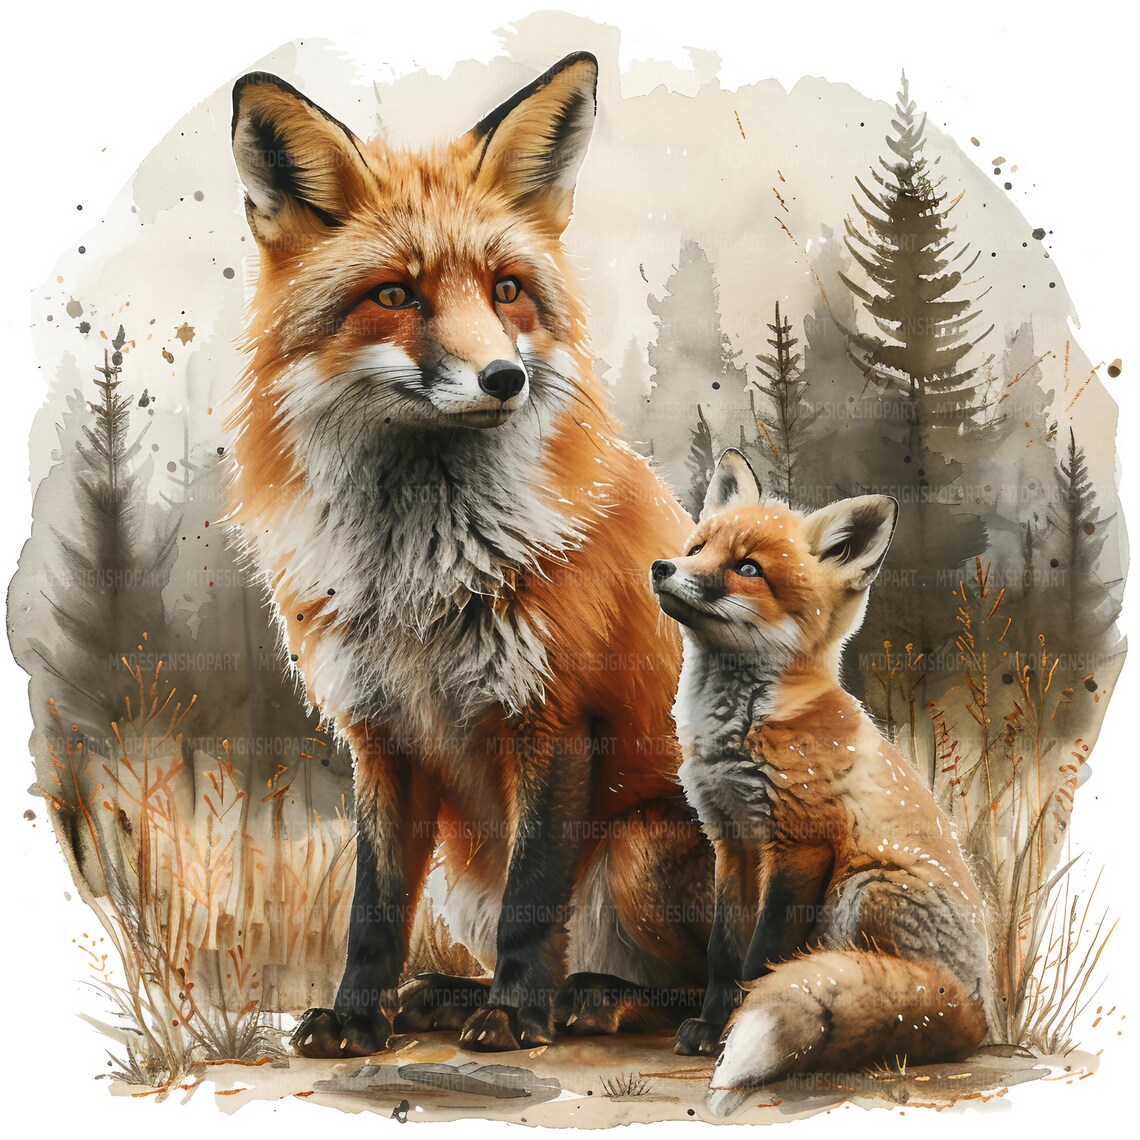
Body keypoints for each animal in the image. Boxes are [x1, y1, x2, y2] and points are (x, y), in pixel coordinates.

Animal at [226, 53, 714, 1057]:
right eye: (395, 294)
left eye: (506, 289)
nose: (504, 378)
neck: (418, 572)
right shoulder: (381, 736)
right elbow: (373, 909)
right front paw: (356, 1015)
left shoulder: (555, 715)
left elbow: (533, 897)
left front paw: (516, 1015)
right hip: (462, 868)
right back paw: (449, 994)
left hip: (640, 847)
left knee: (731, 976)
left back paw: (591, 999)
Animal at [651, 450, 990, 1115]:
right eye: (698, 547)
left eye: (748, 568)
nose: (662, 566)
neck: (738, 731)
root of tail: (977, 1009)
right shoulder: (731, 837)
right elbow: (725, 948)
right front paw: (710, 1025)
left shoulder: (802, 843)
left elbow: (763, 954)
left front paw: (735, 1024)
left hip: (863, 888)